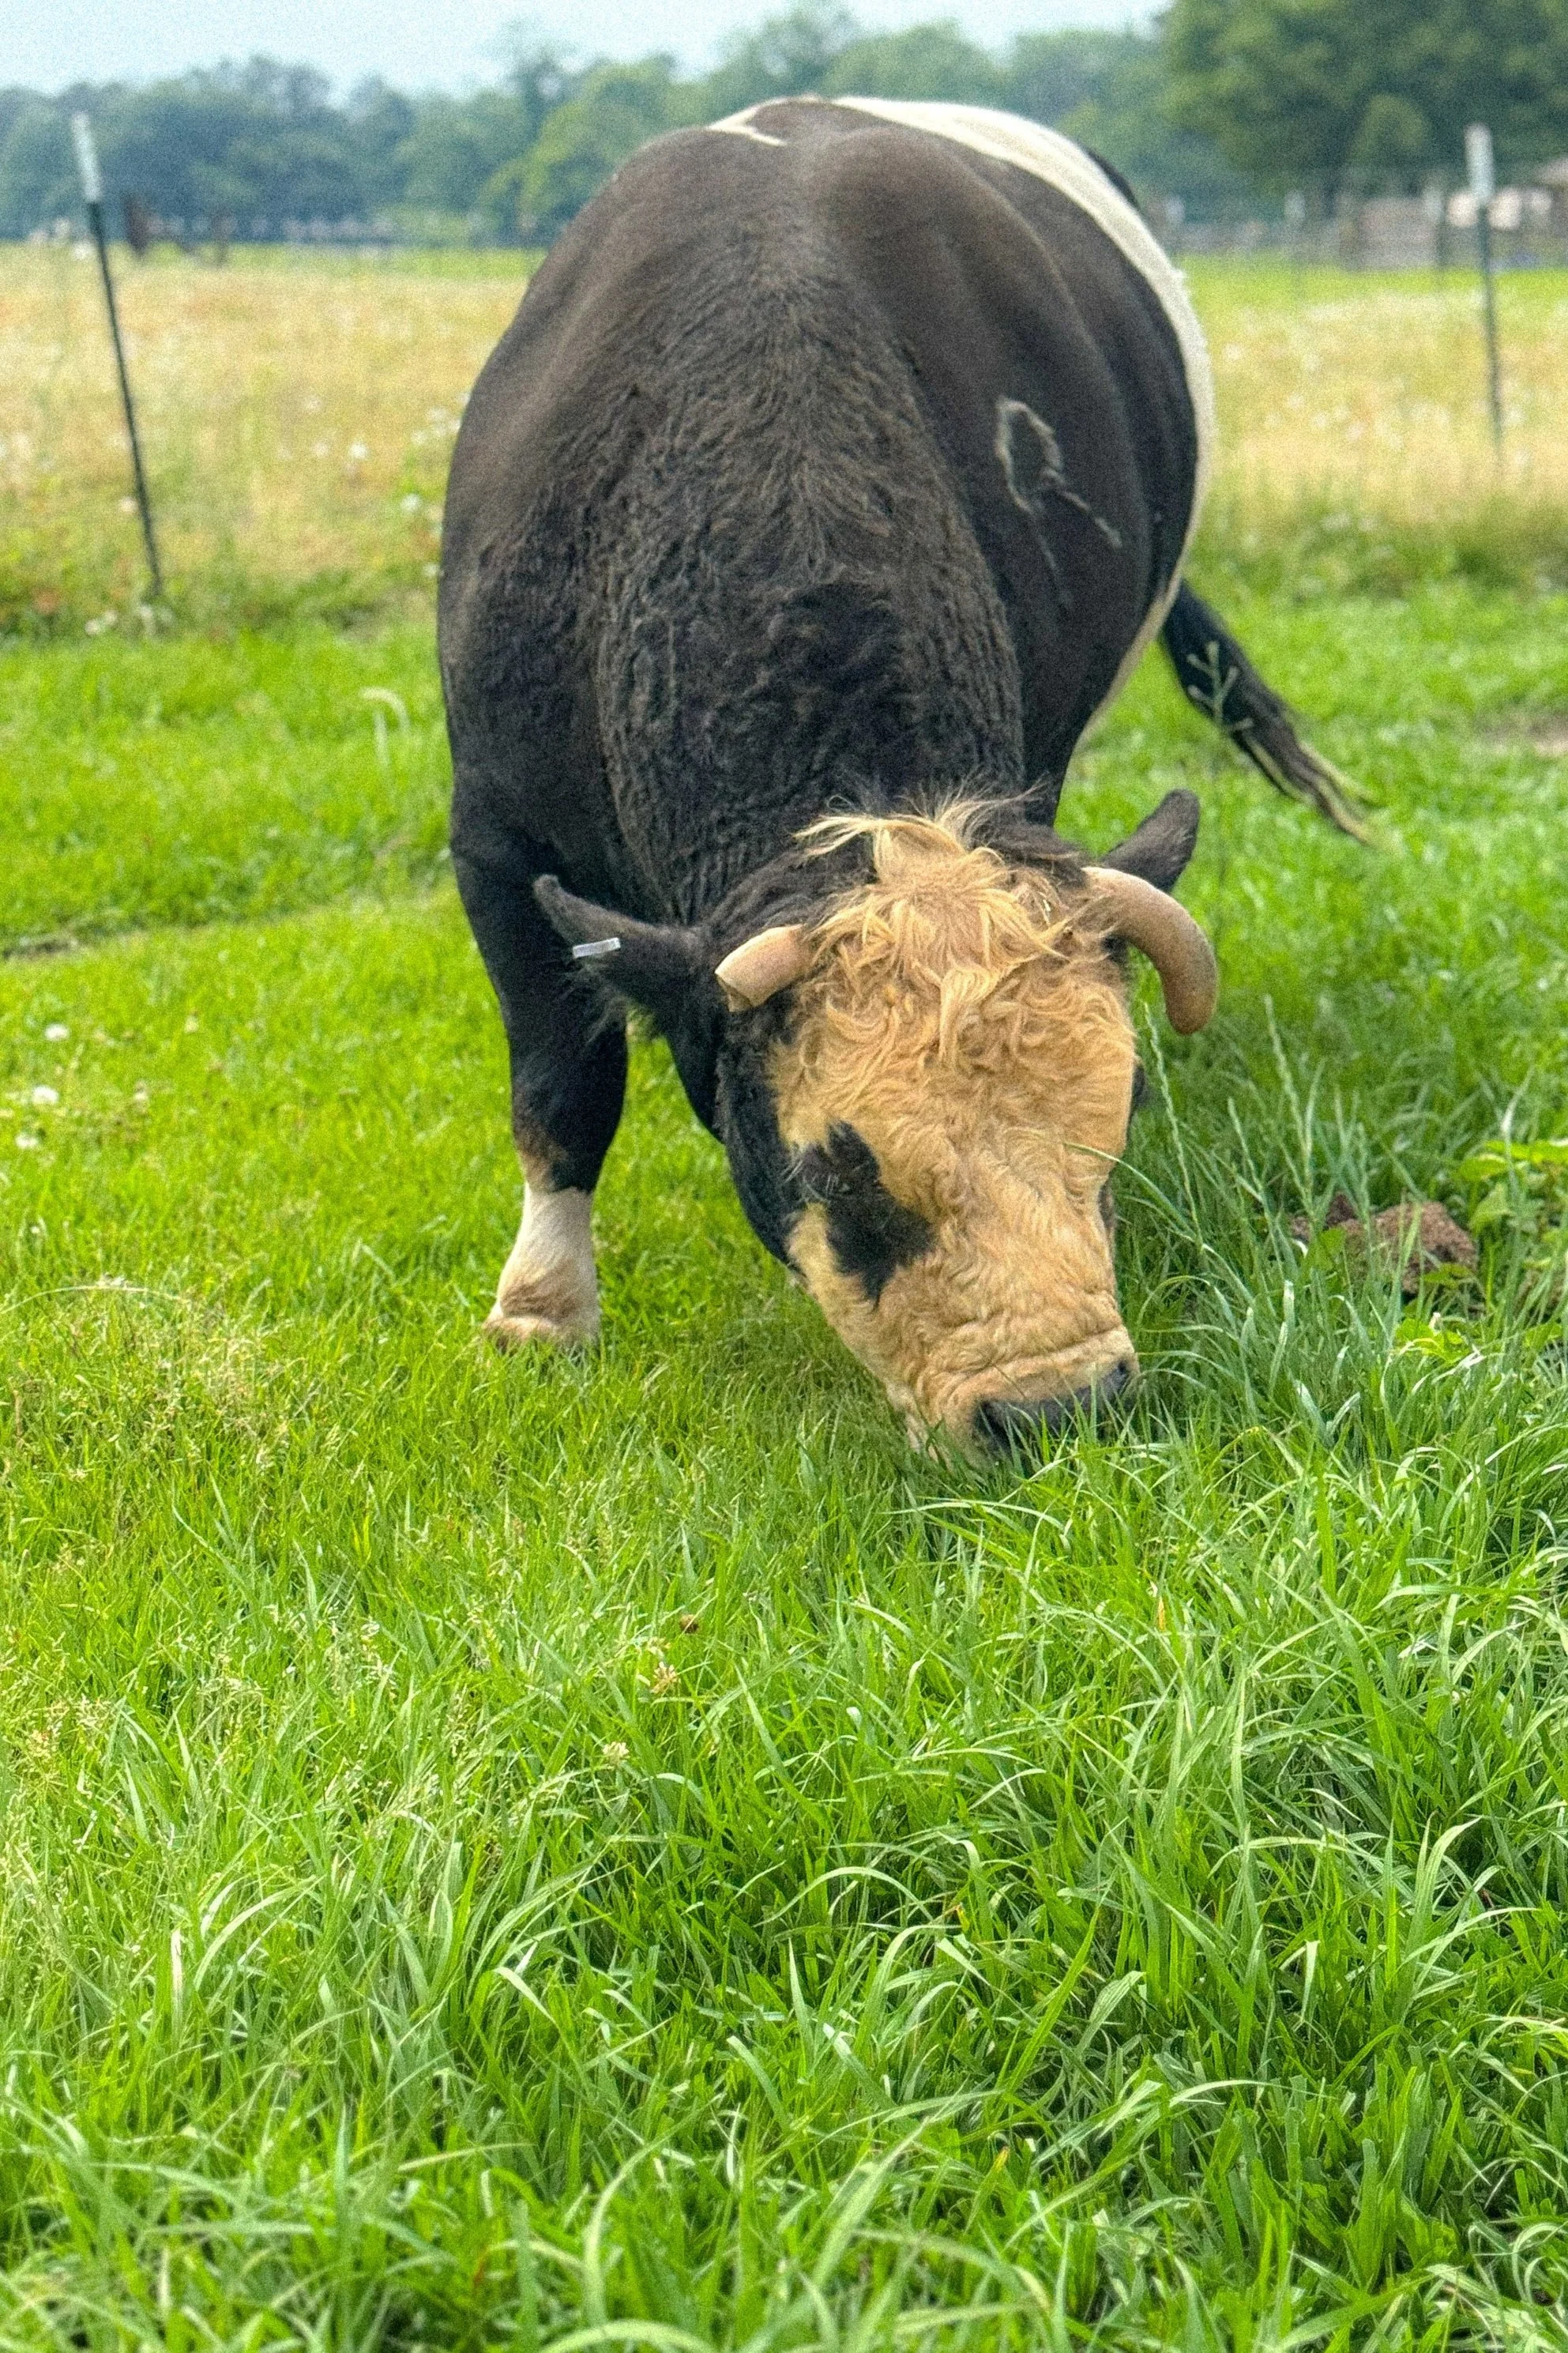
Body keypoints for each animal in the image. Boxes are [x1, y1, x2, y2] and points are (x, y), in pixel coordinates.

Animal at [438, 99, 1358, 1454]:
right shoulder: (496, 838)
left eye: (1122, 1113)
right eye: (835, 1163)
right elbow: (561, 1085)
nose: (1056, 1408)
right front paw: (543, 1313)